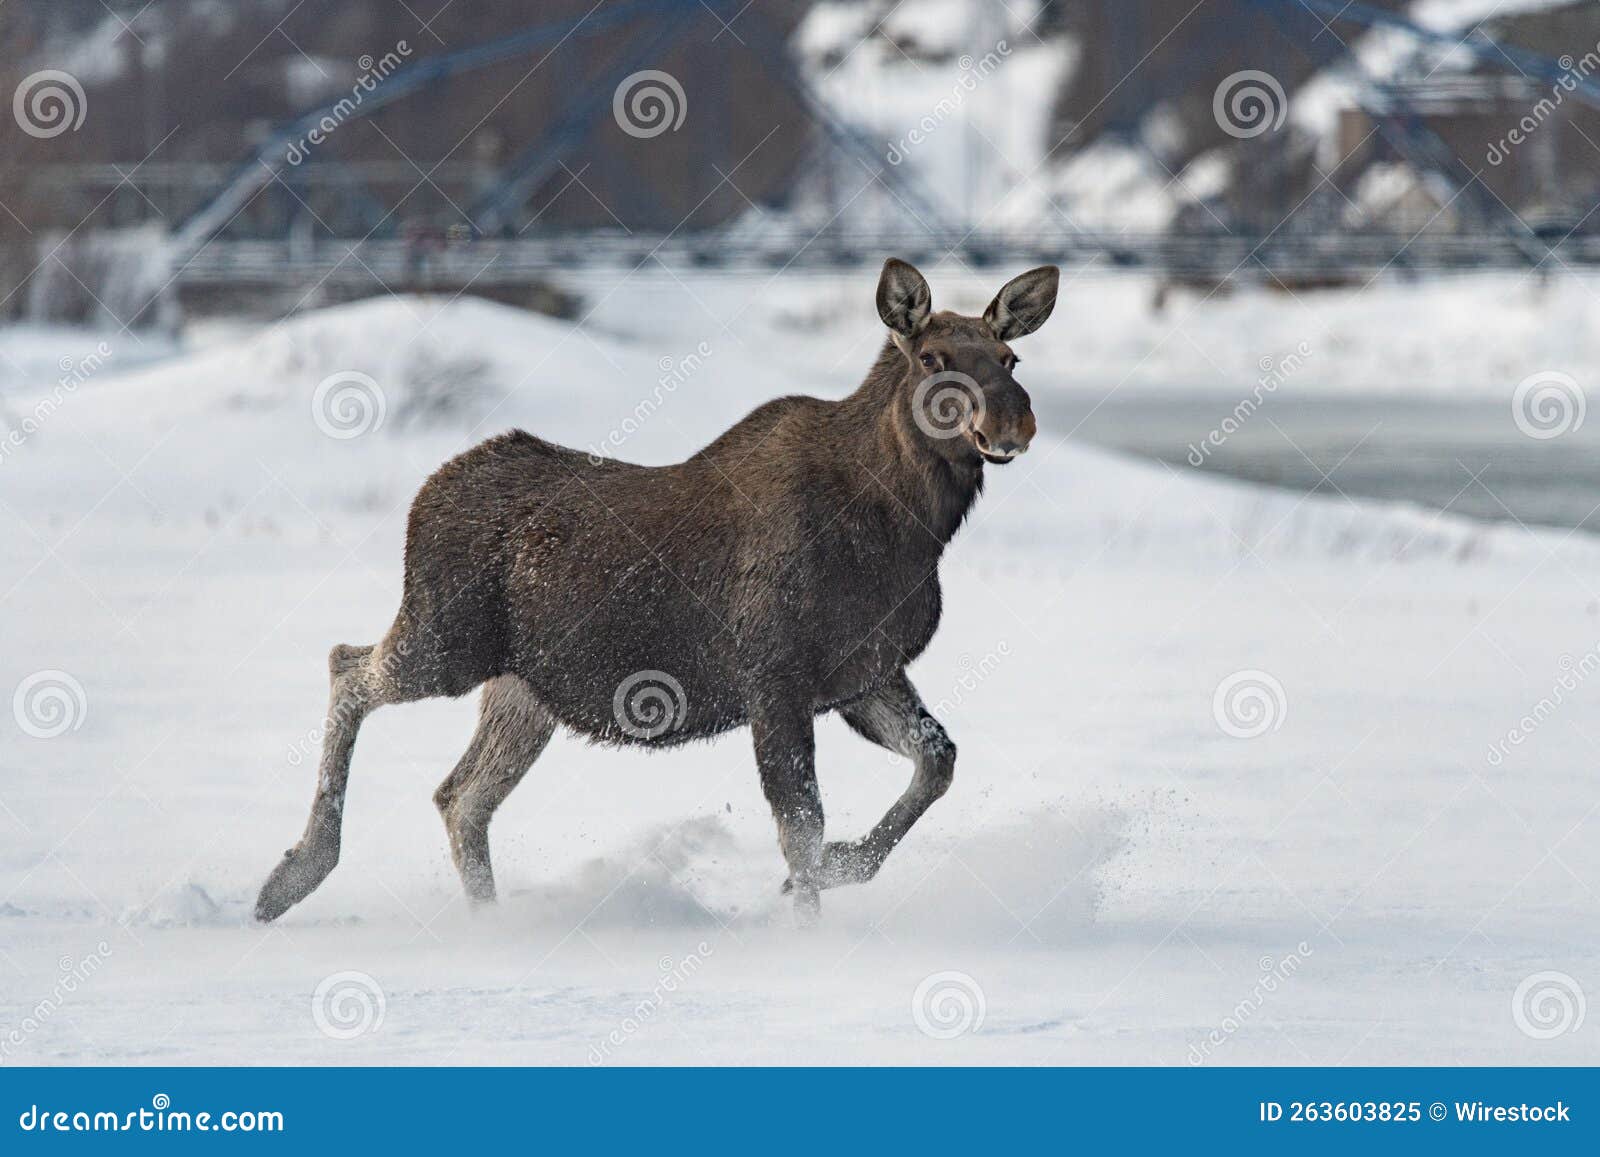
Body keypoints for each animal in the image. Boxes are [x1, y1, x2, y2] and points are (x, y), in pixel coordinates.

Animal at [255, 258, 1059, 926]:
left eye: (1011, 357)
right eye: (932, 358)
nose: (1013, 421)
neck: (906, 530)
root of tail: (427, 492)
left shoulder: (864, 673)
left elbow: (936, 761)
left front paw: (839, 869)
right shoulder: (776, 677)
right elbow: (802, 822)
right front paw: (806, 920)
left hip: (523, 686)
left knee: (460, 795)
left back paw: (488, 923)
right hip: (444, 638)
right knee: (348, 667)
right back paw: (292, 875)